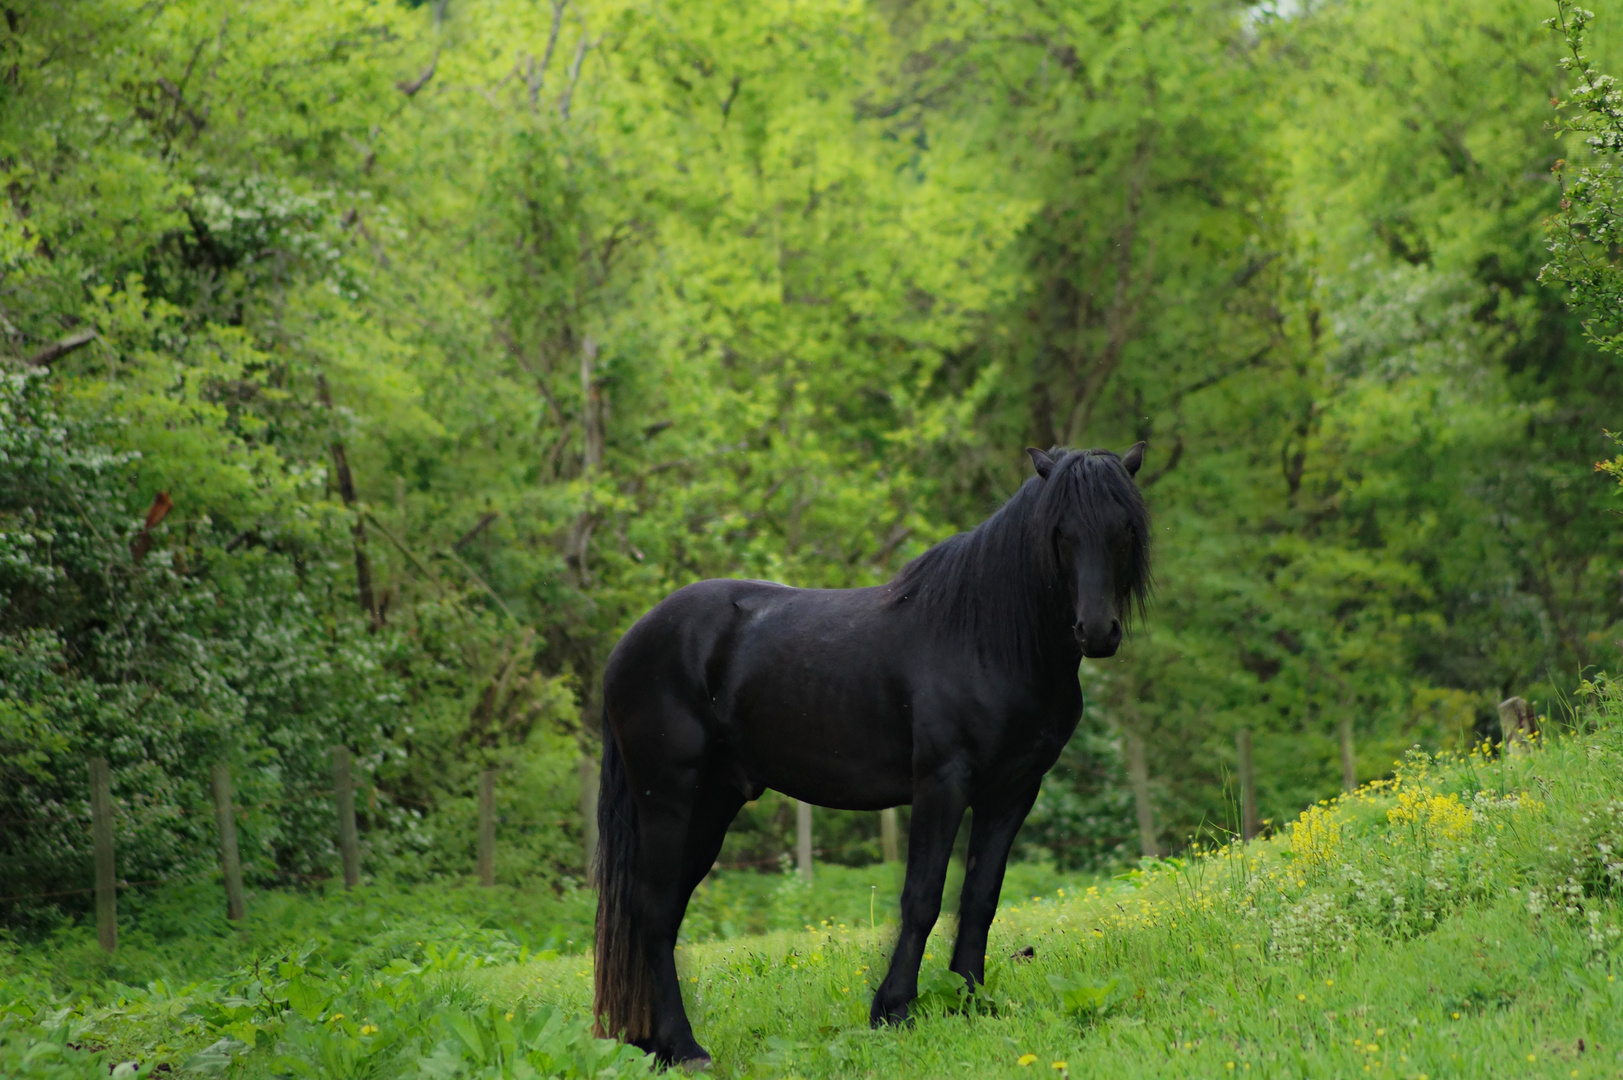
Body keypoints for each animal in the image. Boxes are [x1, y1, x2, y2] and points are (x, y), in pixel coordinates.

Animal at [591, 444, 1151, 1068]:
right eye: (1060, 532)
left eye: (1126, 528)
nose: (1096, 631)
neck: (986, 637)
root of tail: (629, 644)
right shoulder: (942, 784)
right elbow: (922, 898)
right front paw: (895, 1009)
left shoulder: (1012, 793)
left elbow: (980, 896)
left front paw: (969, 1002)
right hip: (668, 796)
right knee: (654, 910)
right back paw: (686, 1048)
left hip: (711, 804)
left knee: (662, 913)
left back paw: (656, 1044)